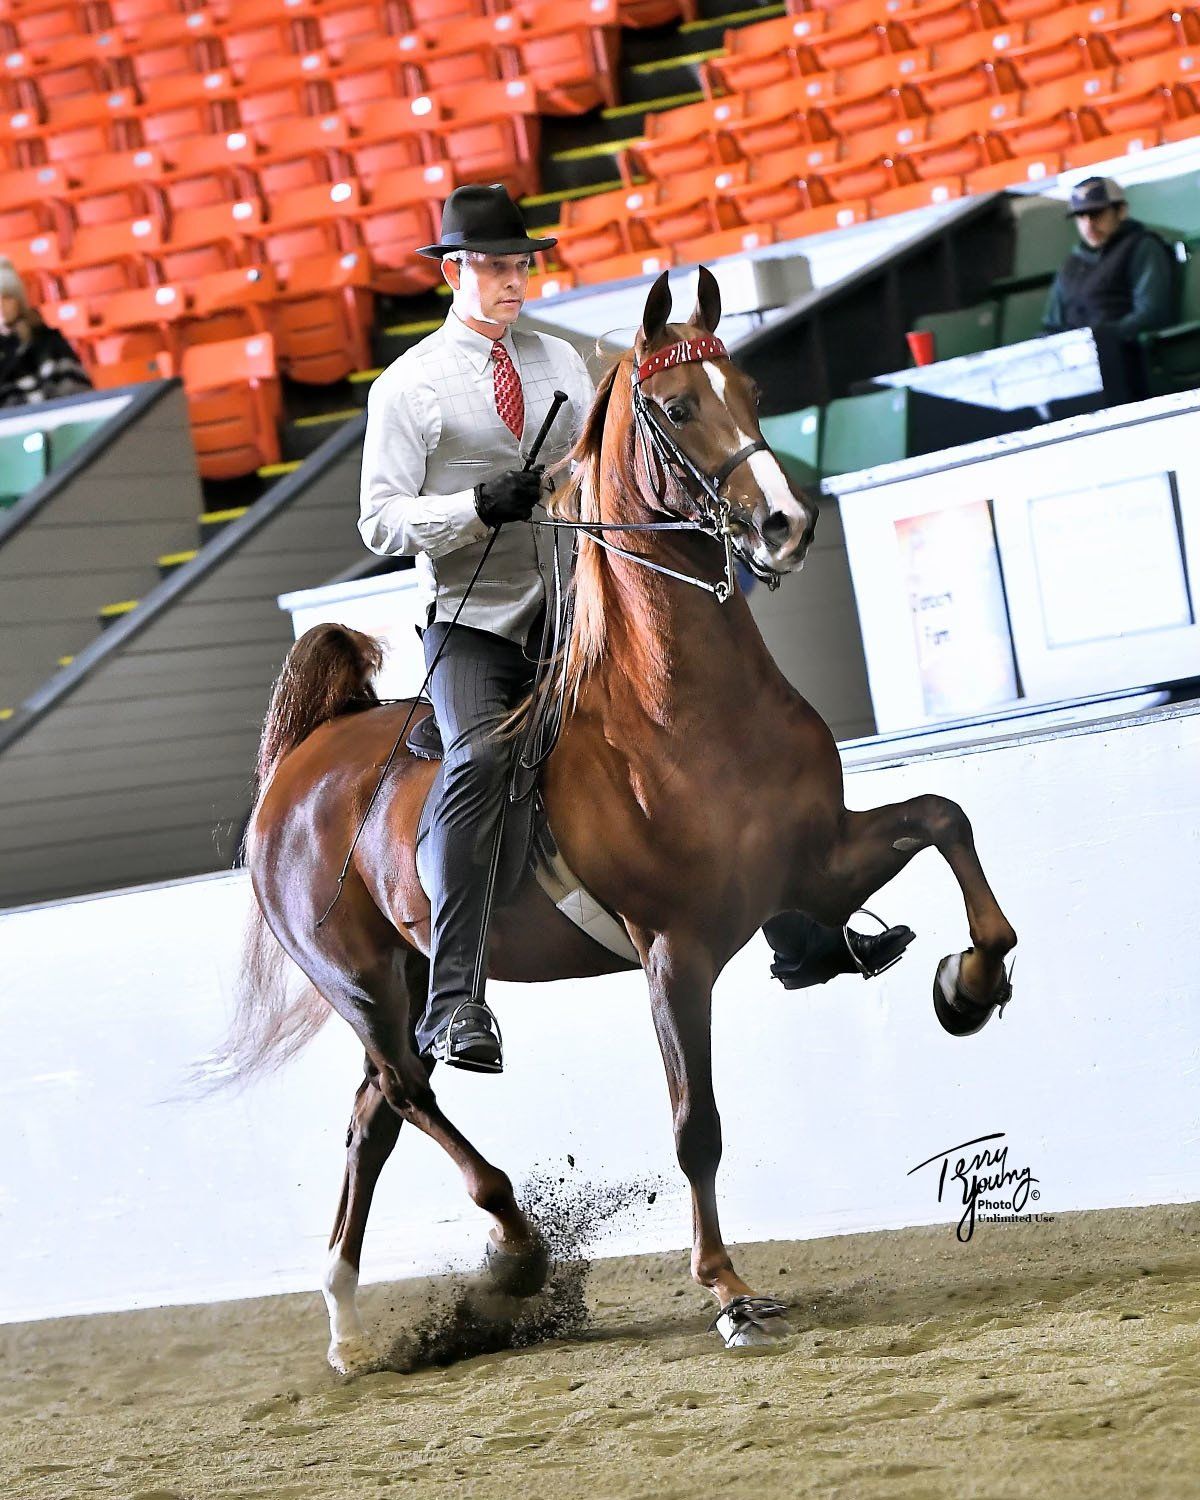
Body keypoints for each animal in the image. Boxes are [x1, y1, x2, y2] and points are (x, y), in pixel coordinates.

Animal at [233, 266, 1018, 1374]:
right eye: (679, 407)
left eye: (751, 389)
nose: (785, 524)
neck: (680, 710)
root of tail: (305, 760)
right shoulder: (674, 951)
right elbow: (697, 1124)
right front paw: (730, 1292)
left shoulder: (814, 869)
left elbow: (946, 818)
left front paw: (969, 983)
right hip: (364, 985)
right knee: (408, 1094)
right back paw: (514, 1250)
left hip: (418, 978)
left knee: (370, 1120)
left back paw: (349, 1325)